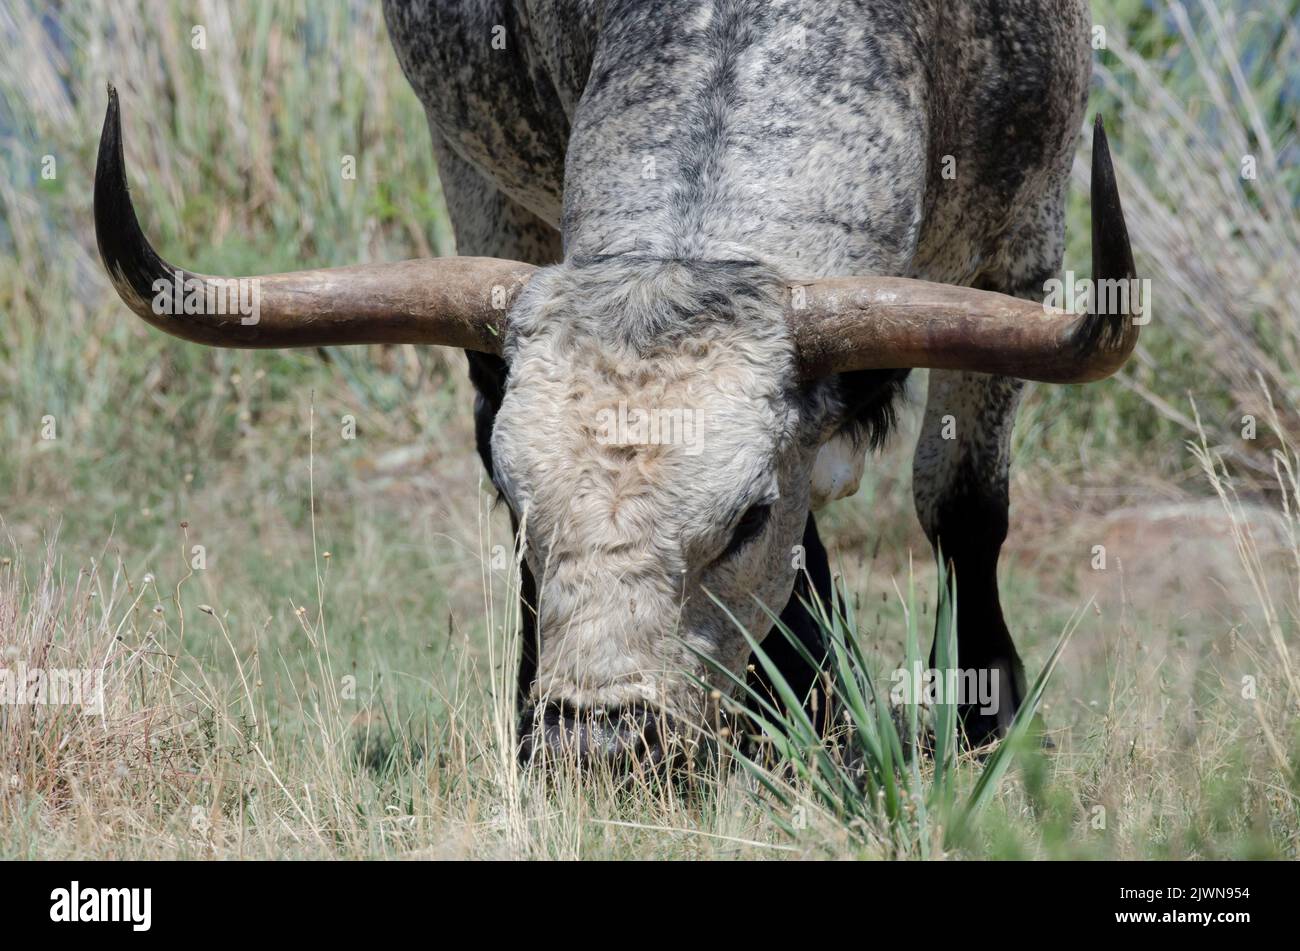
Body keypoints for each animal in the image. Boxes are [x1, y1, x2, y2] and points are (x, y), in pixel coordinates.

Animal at [94, 0, 1139, 773]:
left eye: (747, 519)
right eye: (519, 504)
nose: (597, 739)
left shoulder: (1021, 252)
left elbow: (963, 504)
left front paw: (983, 720)